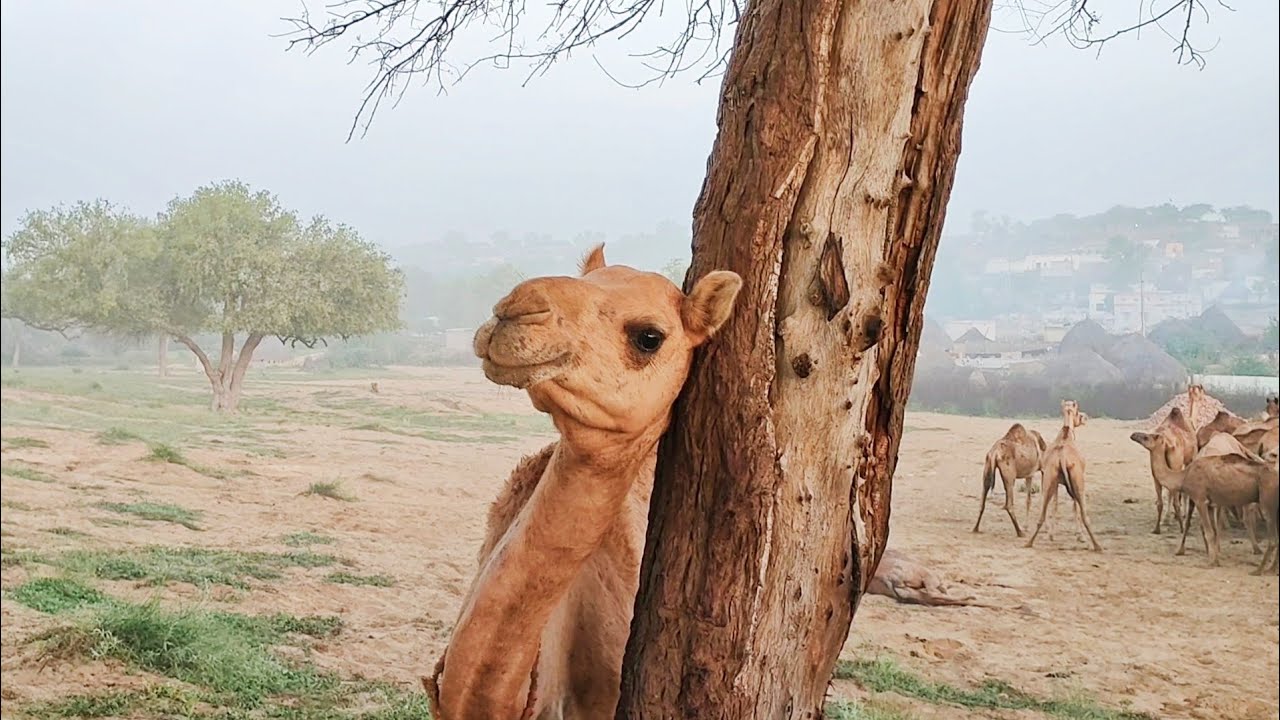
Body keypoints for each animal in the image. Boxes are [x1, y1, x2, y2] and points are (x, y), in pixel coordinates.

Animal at [1025, 400, 1102, 552]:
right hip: (1078, 481)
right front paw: (1079, 535)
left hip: (1049, 478)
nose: (1085, 417)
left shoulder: (1056, 481)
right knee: (1084, 513)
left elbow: (1055, 505)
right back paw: (1096, 545)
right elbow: (1074, 506)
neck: (1066, 435)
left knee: (1042, 511)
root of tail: (1062, 457)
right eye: (1078, 412)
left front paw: (1052, 534)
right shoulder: (1074, 480)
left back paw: (1030, 542)